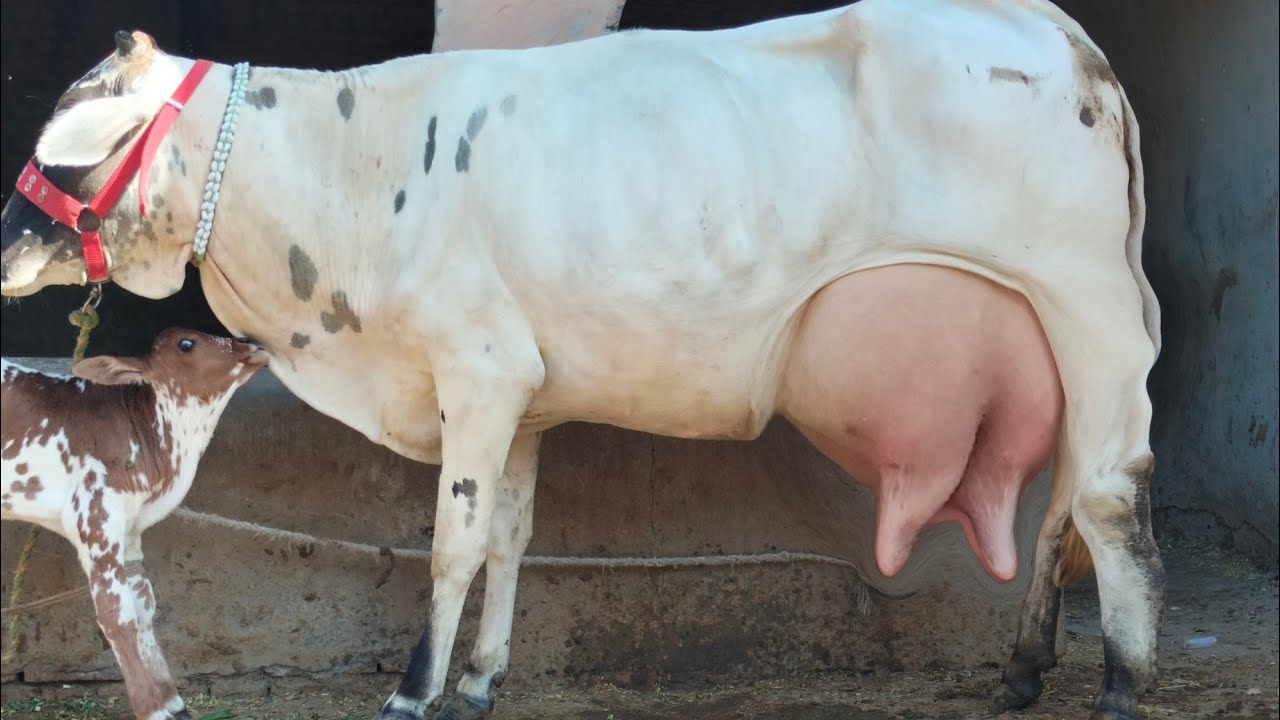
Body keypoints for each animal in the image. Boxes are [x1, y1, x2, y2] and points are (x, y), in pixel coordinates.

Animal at [1, 329, 269, 720]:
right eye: (186, 344)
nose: (252, 344)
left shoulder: (129, 530)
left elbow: (144, 606)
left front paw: (172, 700)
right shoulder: (95, 515)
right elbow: (117, 615)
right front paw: (151, 707)